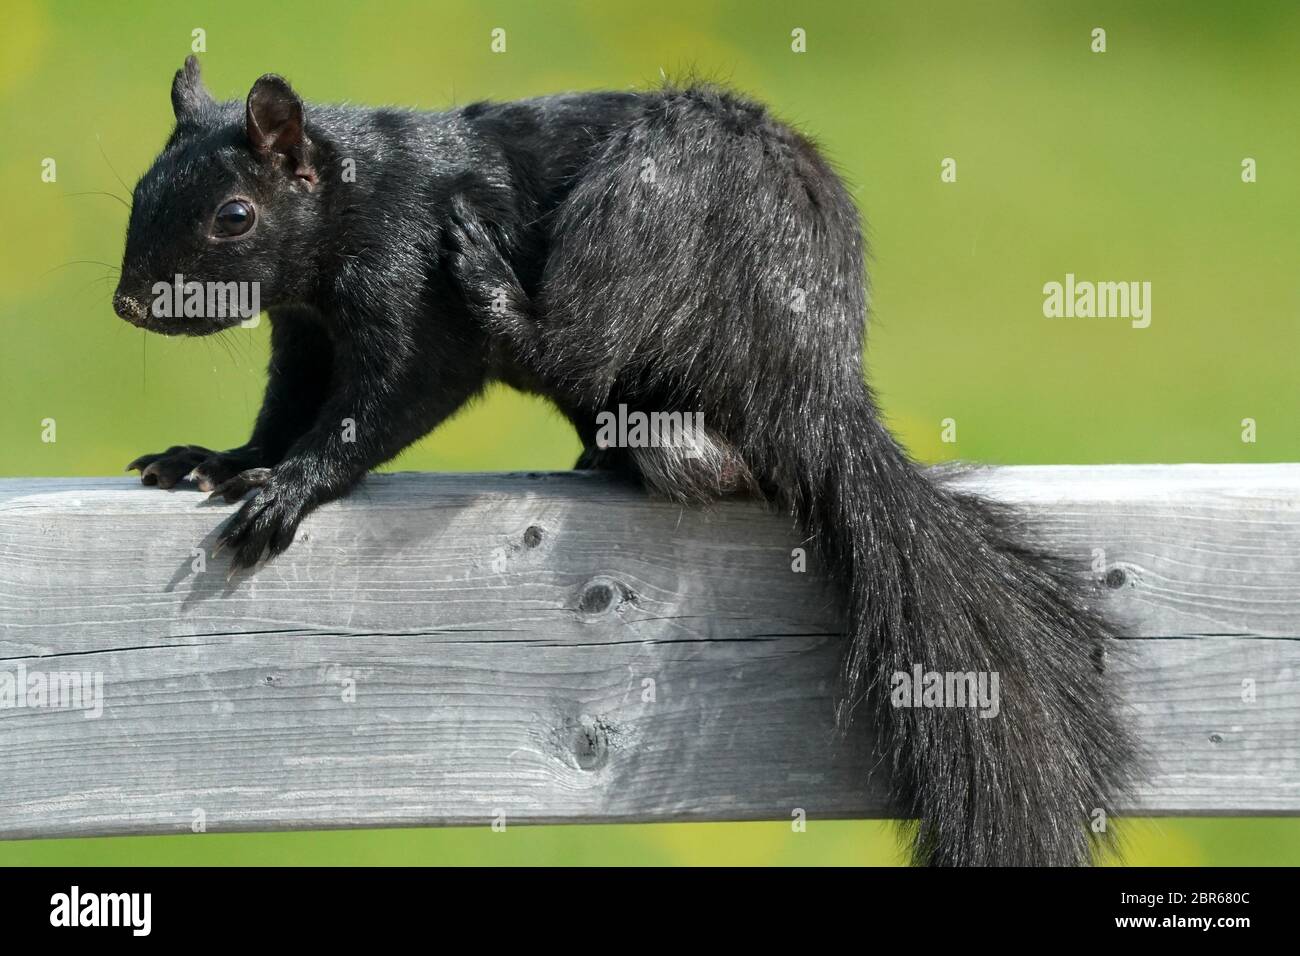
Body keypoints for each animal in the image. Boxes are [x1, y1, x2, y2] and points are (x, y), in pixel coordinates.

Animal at [115, 57, 1137, 866]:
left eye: (236, 215)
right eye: (138, 191)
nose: (129, 304)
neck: (356, 194)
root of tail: (814, 381)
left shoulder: (407, 286)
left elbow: (377, 407)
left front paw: (289, 491)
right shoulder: (303, 331)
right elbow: (285, 410)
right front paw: (219, 459)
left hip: (653, 204)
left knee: (579, 344)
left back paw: (499, 287)